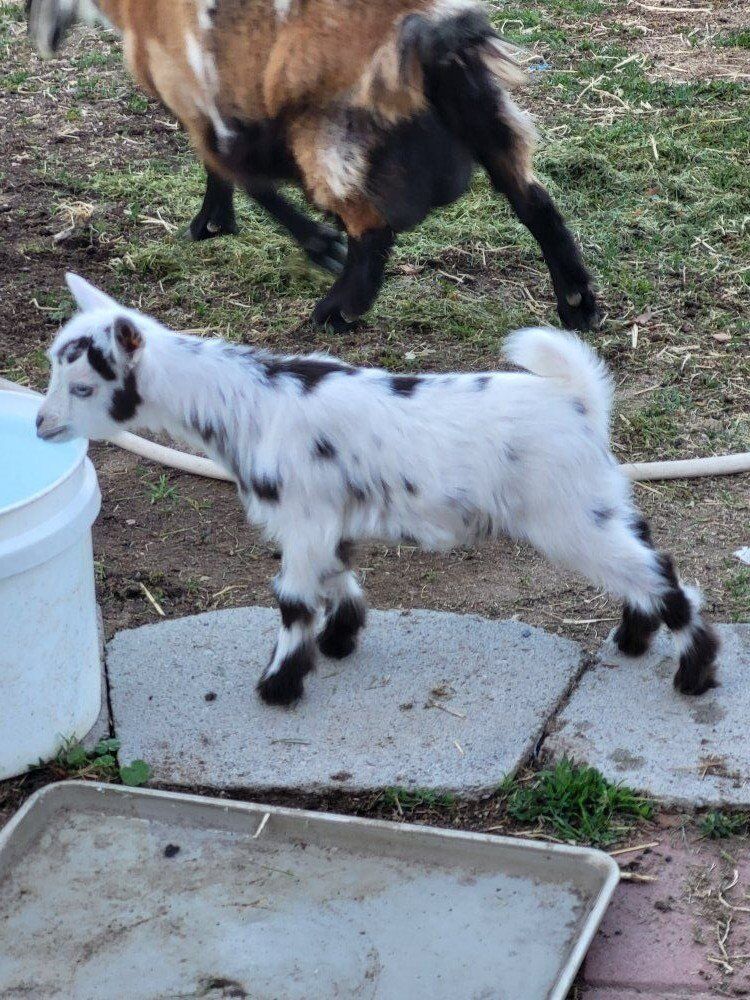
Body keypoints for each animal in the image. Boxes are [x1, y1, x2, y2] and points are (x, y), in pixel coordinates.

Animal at [28, 0, 599, 332]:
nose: (40, 33)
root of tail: (428, 32)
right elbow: (226, 171)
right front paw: (215, 222)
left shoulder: (207, 105)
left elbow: (245, 177)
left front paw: (312, 243)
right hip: (478, 109)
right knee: (534, 200)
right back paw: (576, 302)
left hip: (325, 137)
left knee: (373, 230)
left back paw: (337, 309)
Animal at [38, 273, 719, 705]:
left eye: (82, 386)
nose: (41, 426)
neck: (250, 402)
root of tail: (579, 400)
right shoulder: (328, 519)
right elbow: (334, 576)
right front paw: (339, 640)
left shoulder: (305, 515)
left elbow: (292, 598)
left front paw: (278, 686)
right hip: (595, 502)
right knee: (643, 553)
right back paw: (634, 638)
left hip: (566, 514)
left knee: (656, 570)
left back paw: (695, 671)